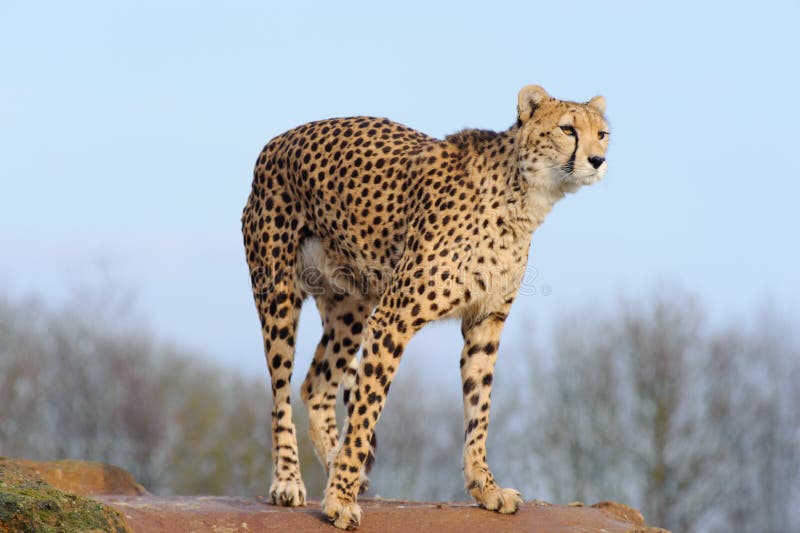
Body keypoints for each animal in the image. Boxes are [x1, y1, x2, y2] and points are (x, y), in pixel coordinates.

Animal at [241, 85, 609, 529]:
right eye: (568, 129)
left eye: (602, 134)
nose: (598, 160)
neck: (524, 197)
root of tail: (277, 141)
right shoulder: (393, 318)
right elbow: (366, 411)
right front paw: (340, 500)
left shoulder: (485, 322)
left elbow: (479, 409)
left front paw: (485, 487)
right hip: (278, 293)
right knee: (281, 391)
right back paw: (289, 480)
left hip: (352, 307)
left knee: (316, 384)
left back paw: (335, 465)